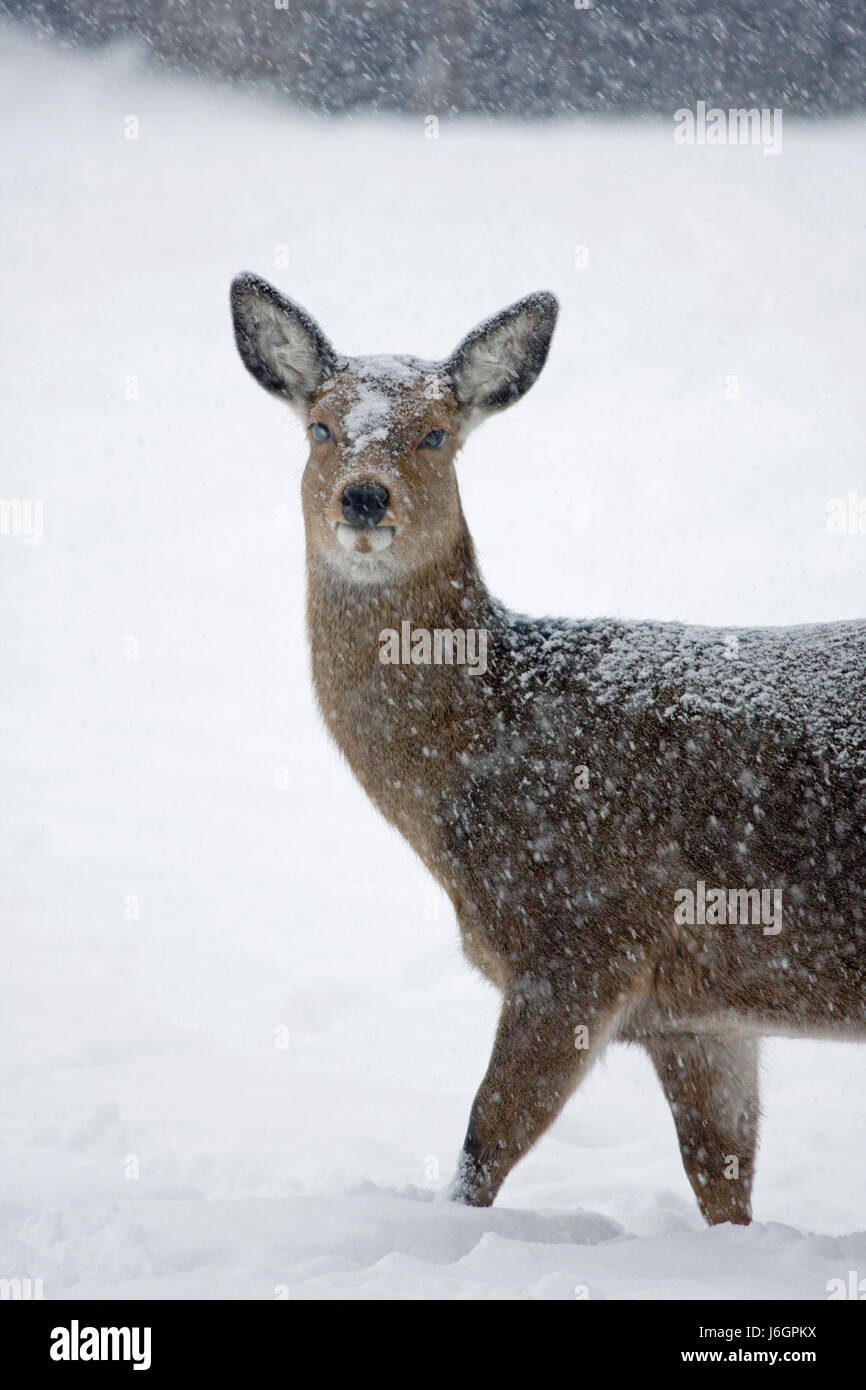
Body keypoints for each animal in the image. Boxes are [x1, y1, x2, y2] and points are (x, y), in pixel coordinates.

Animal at [230, 272, 866, 1226]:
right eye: (321, 426)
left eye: (436, 432)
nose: (365, 498)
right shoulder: (703, 1015)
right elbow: (722, 1184)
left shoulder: (579, 936)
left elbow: (481, 1149)